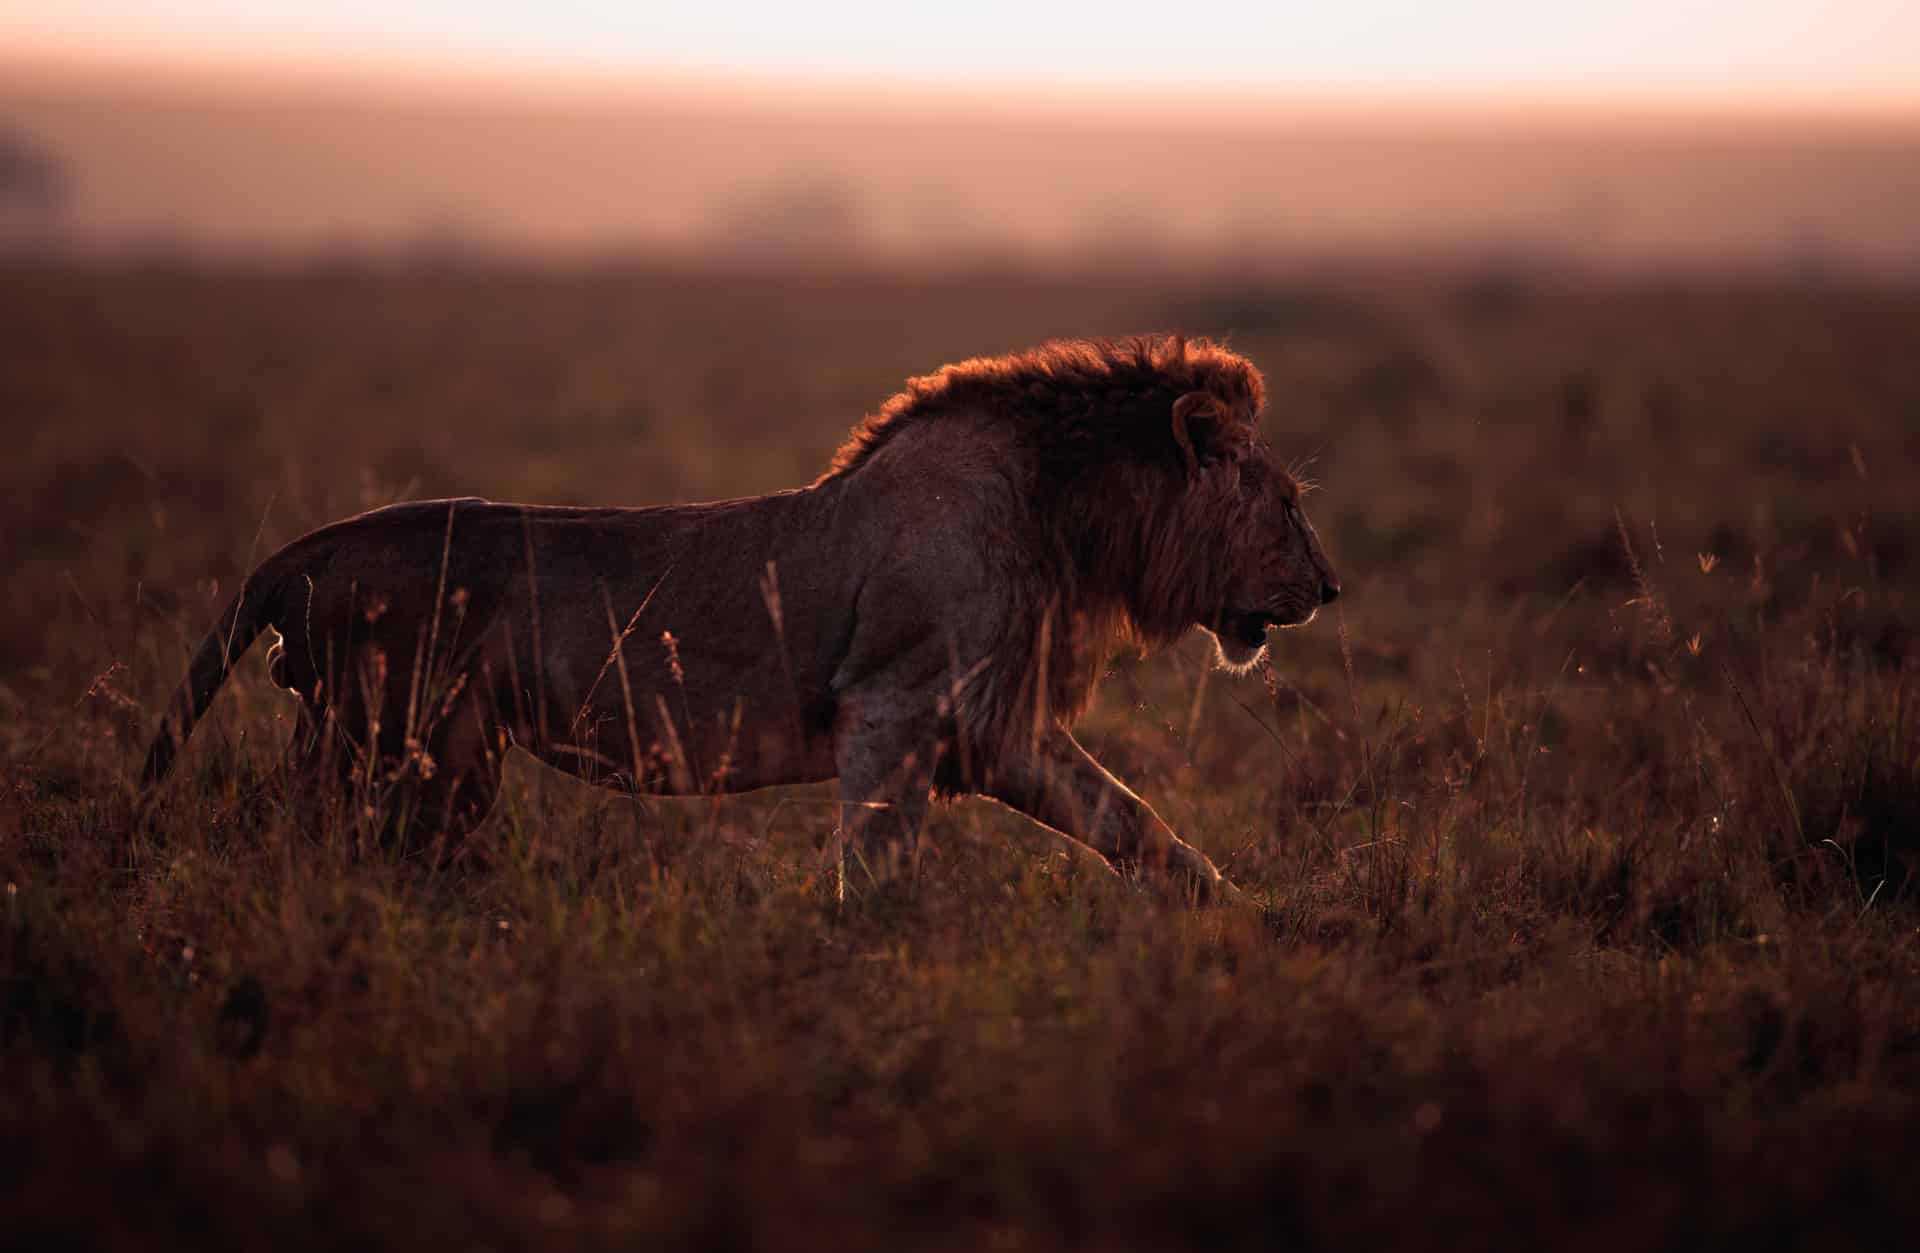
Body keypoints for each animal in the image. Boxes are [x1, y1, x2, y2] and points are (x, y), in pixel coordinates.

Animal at [141, 335, 1340, 899]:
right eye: (1286, 504)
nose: (1330, 588)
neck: (1069, 521)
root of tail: (305, 549)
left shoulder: (1000, 726)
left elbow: (1137, 824)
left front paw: (1248, 921)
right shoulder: (893, 705)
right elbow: (876, 866)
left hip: (433, 750)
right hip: (389, 736)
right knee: (297, 843)